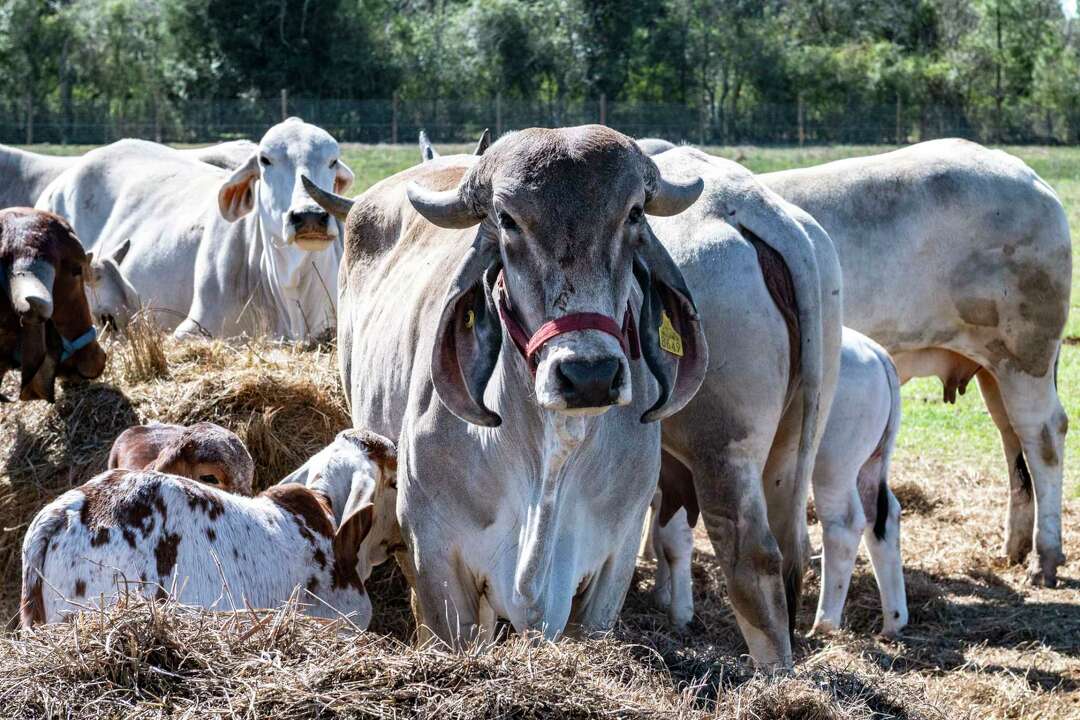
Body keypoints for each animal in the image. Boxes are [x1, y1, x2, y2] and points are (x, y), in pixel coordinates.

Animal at [304, 125, 708, 647]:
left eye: (634, 212)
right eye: (507, 219)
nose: (589, 376)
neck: (550, 461)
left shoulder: (611, 568)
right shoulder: (436, 557)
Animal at [644, 146, 843, 667]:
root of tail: (752, 205)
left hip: (721, 448)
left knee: (751, 553)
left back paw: (773, 673)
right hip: (798, 431)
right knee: (791, 543)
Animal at [647, 328, 907, 639]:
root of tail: (877, 352)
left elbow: (670, 538)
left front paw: (679, 612)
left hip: (834, 465)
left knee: (844, 524)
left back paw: (824, 623)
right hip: (870, 464)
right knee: (883, 517)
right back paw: (893, 621)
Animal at [751, 139, 1072, 588]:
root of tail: (1028, 175)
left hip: (1027, 354)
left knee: (1043, 436)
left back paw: (1044, 557)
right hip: (997, 367)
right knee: (1013, 439)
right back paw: (1015, 545)